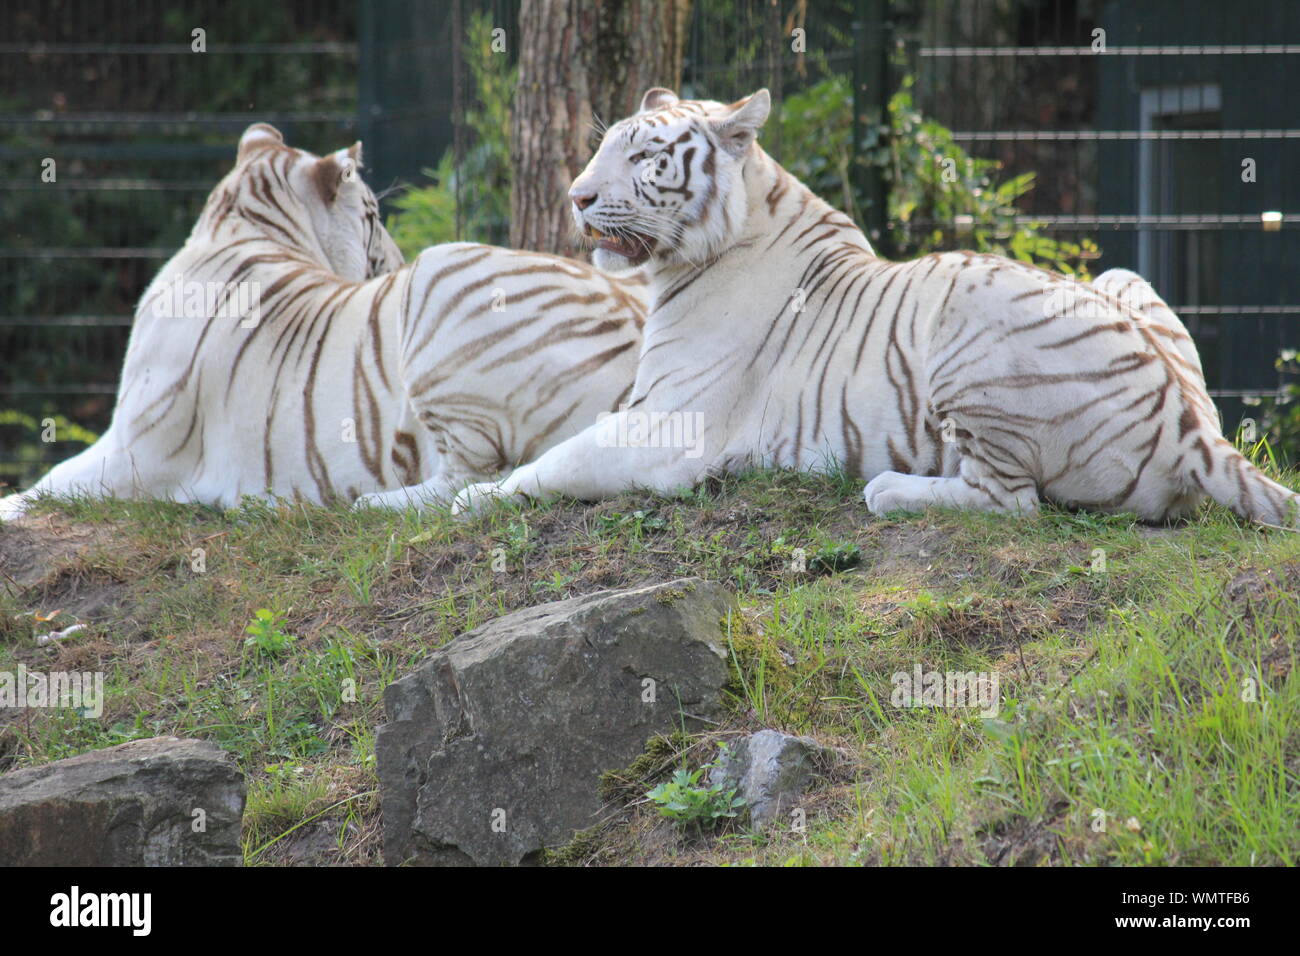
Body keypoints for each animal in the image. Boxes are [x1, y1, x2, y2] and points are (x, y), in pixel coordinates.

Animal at [0, 123, 646, 518]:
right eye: (373, 216)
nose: (396, 260)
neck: (241, 224)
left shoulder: (136, 450)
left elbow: (35, 491)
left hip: (443, 278)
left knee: (474, 478)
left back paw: (367, 505)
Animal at [453, 87, 1298, 528]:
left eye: (645, 156)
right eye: (608, 146)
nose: (576, 196)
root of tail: (1188, 427)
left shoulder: (669, 430)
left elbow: (553, 462)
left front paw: (466, 498)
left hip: (970, 325)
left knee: (1014, 503)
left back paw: (890, 489)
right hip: (1124, 280)